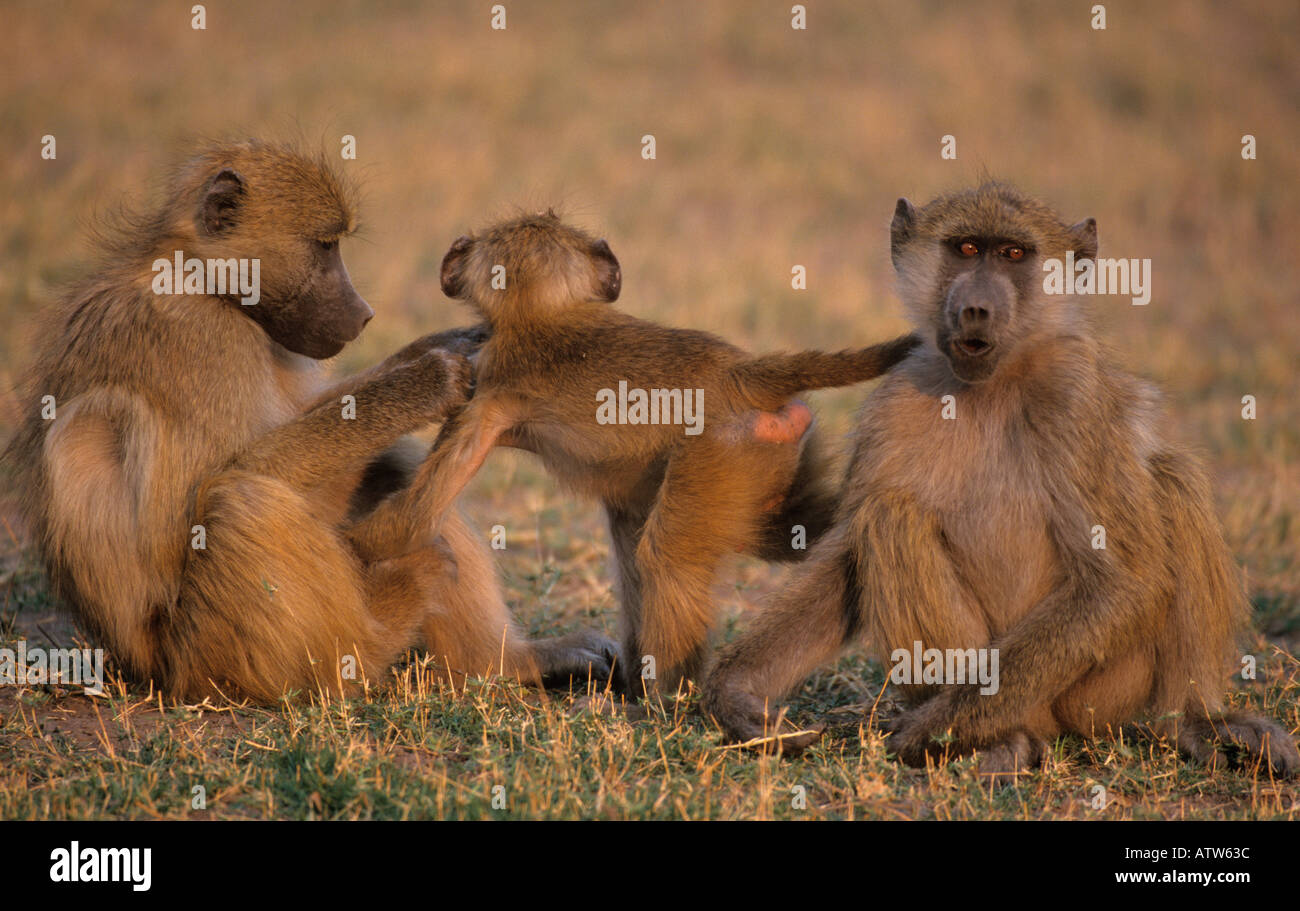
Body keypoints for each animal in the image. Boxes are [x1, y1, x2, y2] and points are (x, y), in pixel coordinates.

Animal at [3, 141, 616, 704]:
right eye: (324, 247)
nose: (363, 314)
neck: (202, 280)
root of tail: (149, 669)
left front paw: (448, 344)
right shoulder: (194, 337)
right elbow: (212, 485)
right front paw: (429, 381)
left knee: (384, 463)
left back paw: (505, 663)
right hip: (208, 655)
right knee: (244, 499)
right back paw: (377, 632)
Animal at [416, 210, 920, 697]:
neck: (540, 315)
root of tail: (738, 373)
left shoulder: (485, 386)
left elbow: (419, 512)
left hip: (717, 450)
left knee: (666, 555)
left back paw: (663, 704)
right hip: (765, 454)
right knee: (792, 532)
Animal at [704, 182, 1299, 781]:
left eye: (1014, 254)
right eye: (966, 248)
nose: (976, 308)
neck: (991, 386)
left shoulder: (1073, 394)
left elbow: (1124, 579)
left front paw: (922, 732)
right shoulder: (895, 401)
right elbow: (842, 566)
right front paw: (738, 693)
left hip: (1099, 690)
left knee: (1172, 478)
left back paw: (1194, 721)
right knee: (891, 513)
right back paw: (999, 742)